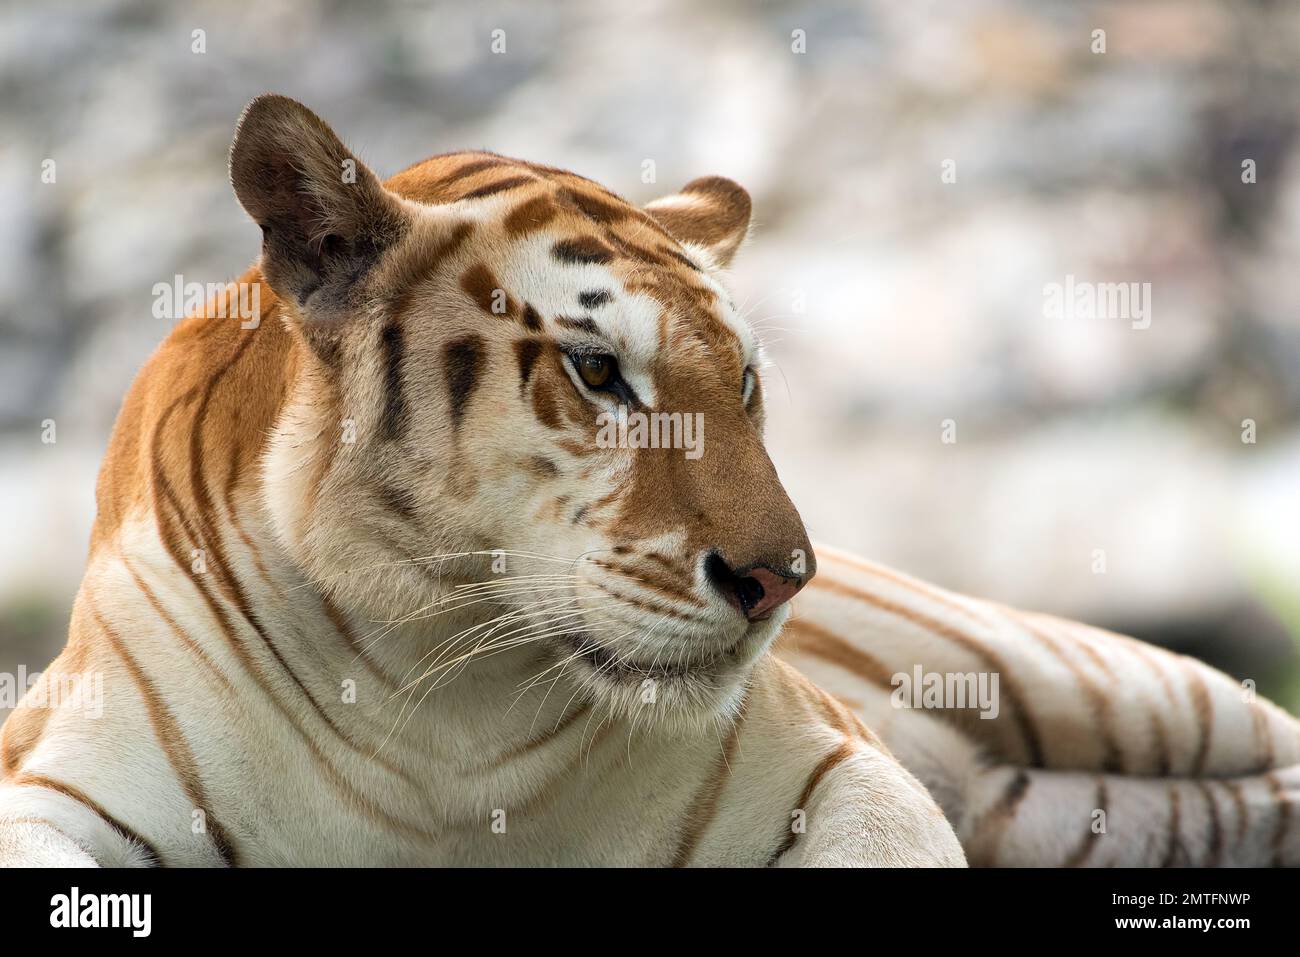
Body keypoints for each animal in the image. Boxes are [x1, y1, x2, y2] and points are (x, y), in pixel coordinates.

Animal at [0, 94, 1295, 868]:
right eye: (597, 372)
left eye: (746, 383)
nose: (781, 581)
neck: (434, 678)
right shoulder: (56, 786)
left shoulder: (841, 769)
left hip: (1090, 680)